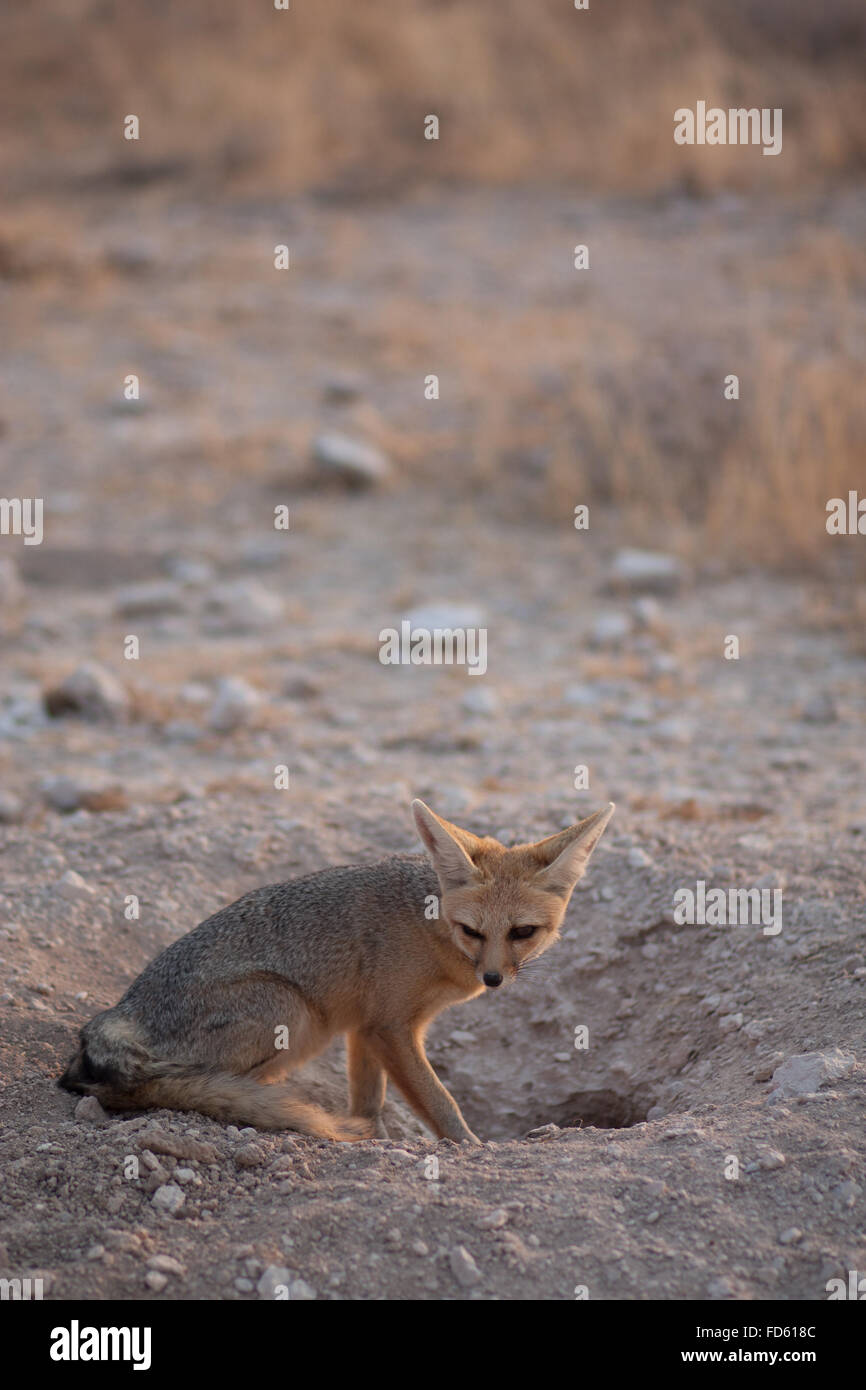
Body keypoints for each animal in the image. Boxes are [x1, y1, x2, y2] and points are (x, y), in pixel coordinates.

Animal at [59, 798, 614, 1144]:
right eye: (472, 931)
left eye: (522, 932)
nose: (493, 979)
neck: (431, 928)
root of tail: (117, 1014)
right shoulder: (390, 1027)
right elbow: (440, 1101)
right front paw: (469, 1146)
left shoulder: (366, 1027)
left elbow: (368, 1101)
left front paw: (376, 1138)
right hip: (290, 1010)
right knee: (161, 1088)